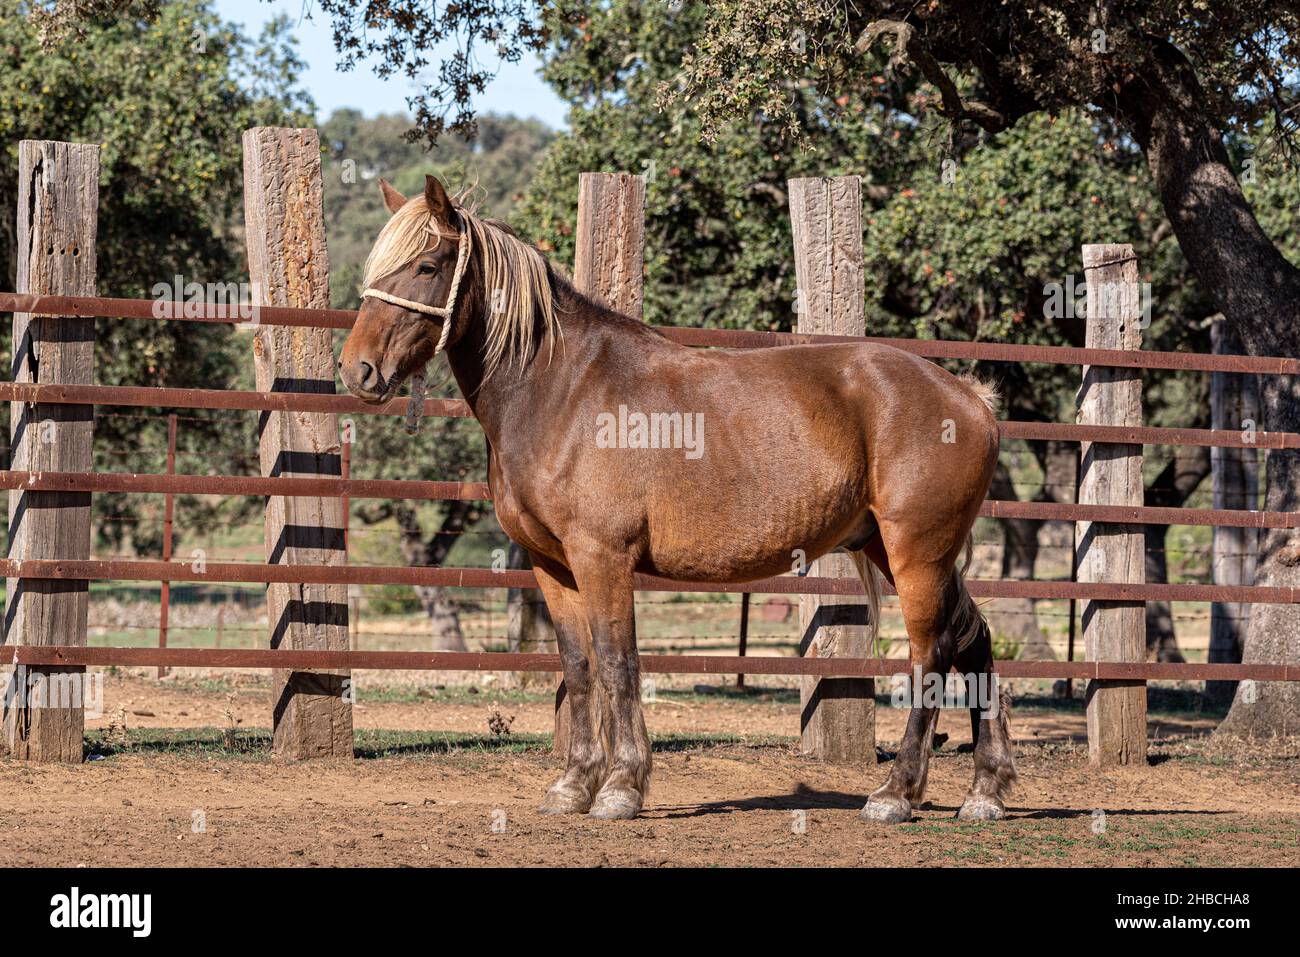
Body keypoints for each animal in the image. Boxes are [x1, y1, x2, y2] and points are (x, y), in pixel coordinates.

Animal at [338, 175, 1016, 823]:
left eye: (428, 266)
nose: (356, 370)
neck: (563, 389)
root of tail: (971, 398)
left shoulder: (603, 558)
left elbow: (617, 662)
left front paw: (620, 787)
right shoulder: (551, 564)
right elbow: (578, 666)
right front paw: (572, 785)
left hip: (917, 554)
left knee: (931, 655)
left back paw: (896, 793)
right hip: (894, 549)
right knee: (974, 641)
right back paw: (984, 792)